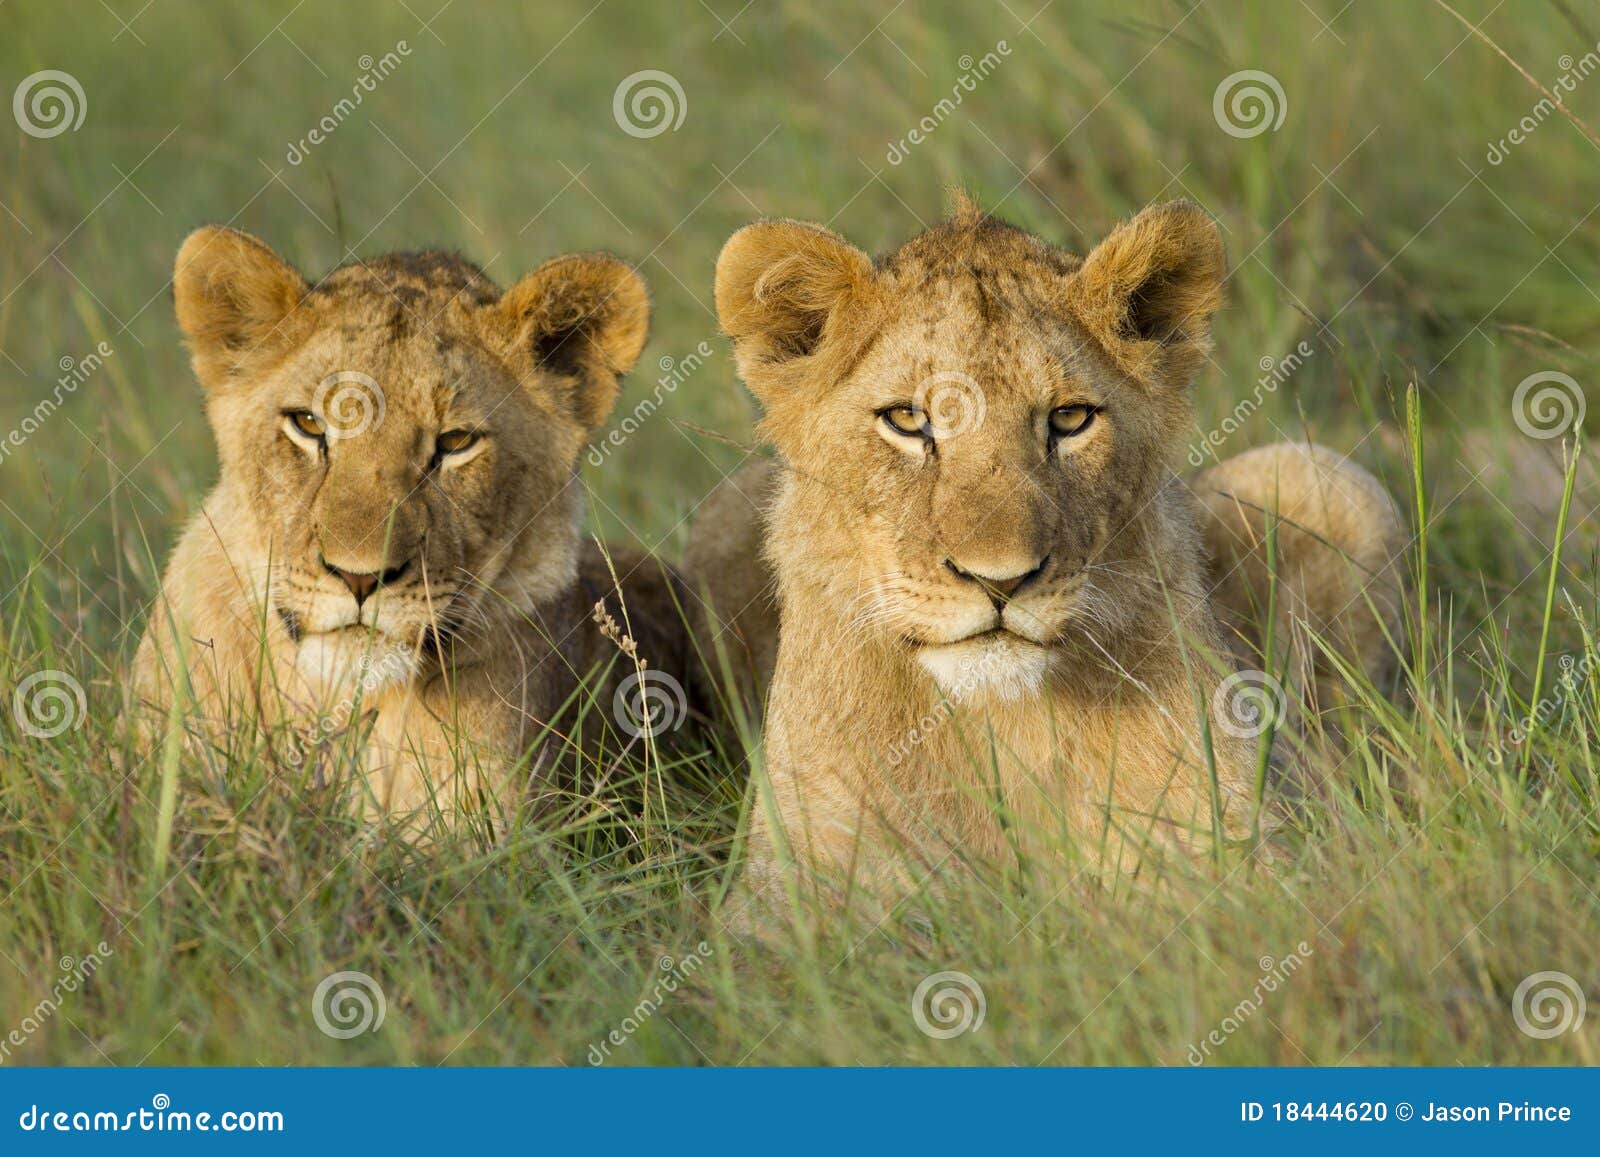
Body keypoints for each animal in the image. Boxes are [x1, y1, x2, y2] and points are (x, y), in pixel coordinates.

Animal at [686, 197, 1406, 925]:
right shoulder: (781, 899)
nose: (999, 580)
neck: (997, 731)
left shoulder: (1247, 861)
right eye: (908, 420)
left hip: (1331, 479)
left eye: (1070, 419)